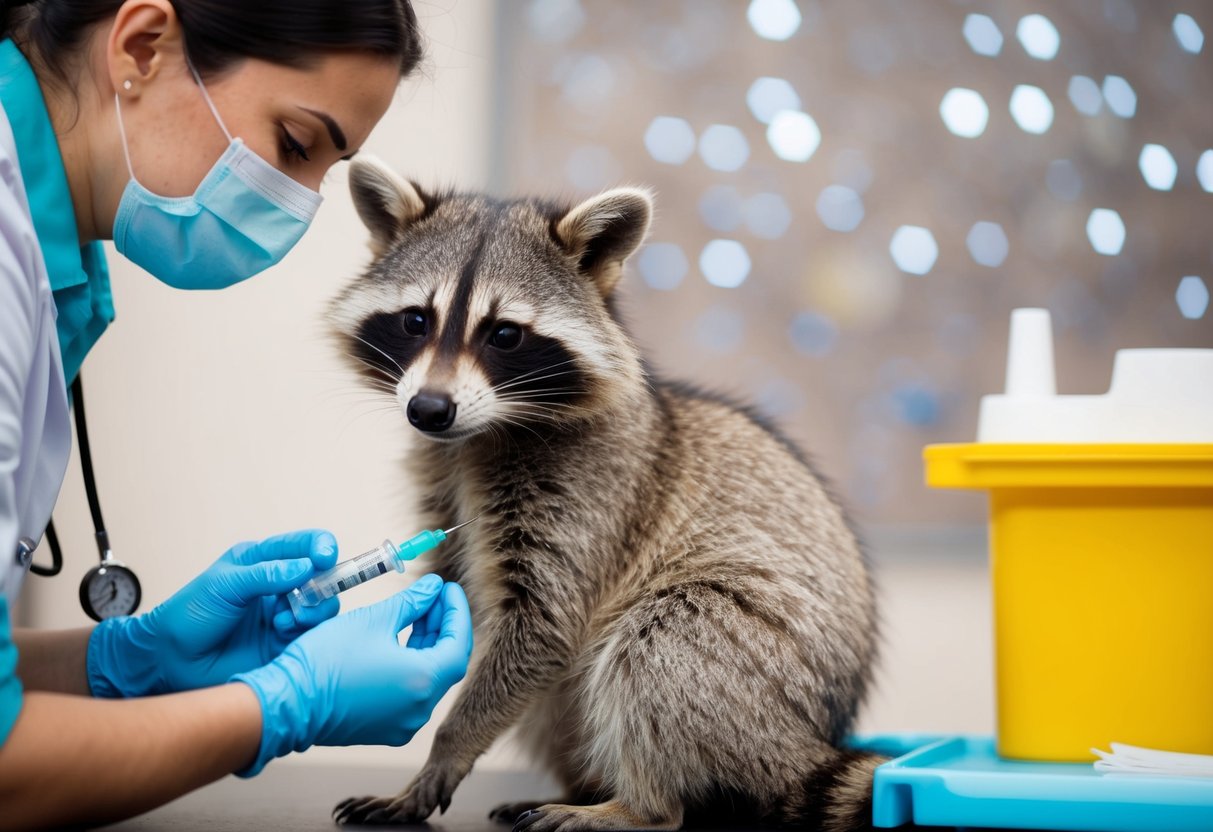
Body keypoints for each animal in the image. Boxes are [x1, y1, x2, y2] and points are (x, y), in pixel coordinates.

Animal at [328, 157, 882, 832]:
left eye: (504, 335)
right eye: (415, 320)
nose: (428, 409)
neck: (480, 433)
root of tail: (809, 744)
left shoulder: (593, 490)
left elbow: (543, 629)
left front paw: (448, 746)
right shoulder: (440, 475)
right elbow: (461, 587)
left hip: (754, 662)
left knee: (664, 645)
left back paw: (637, 805)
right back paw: (584, 786)